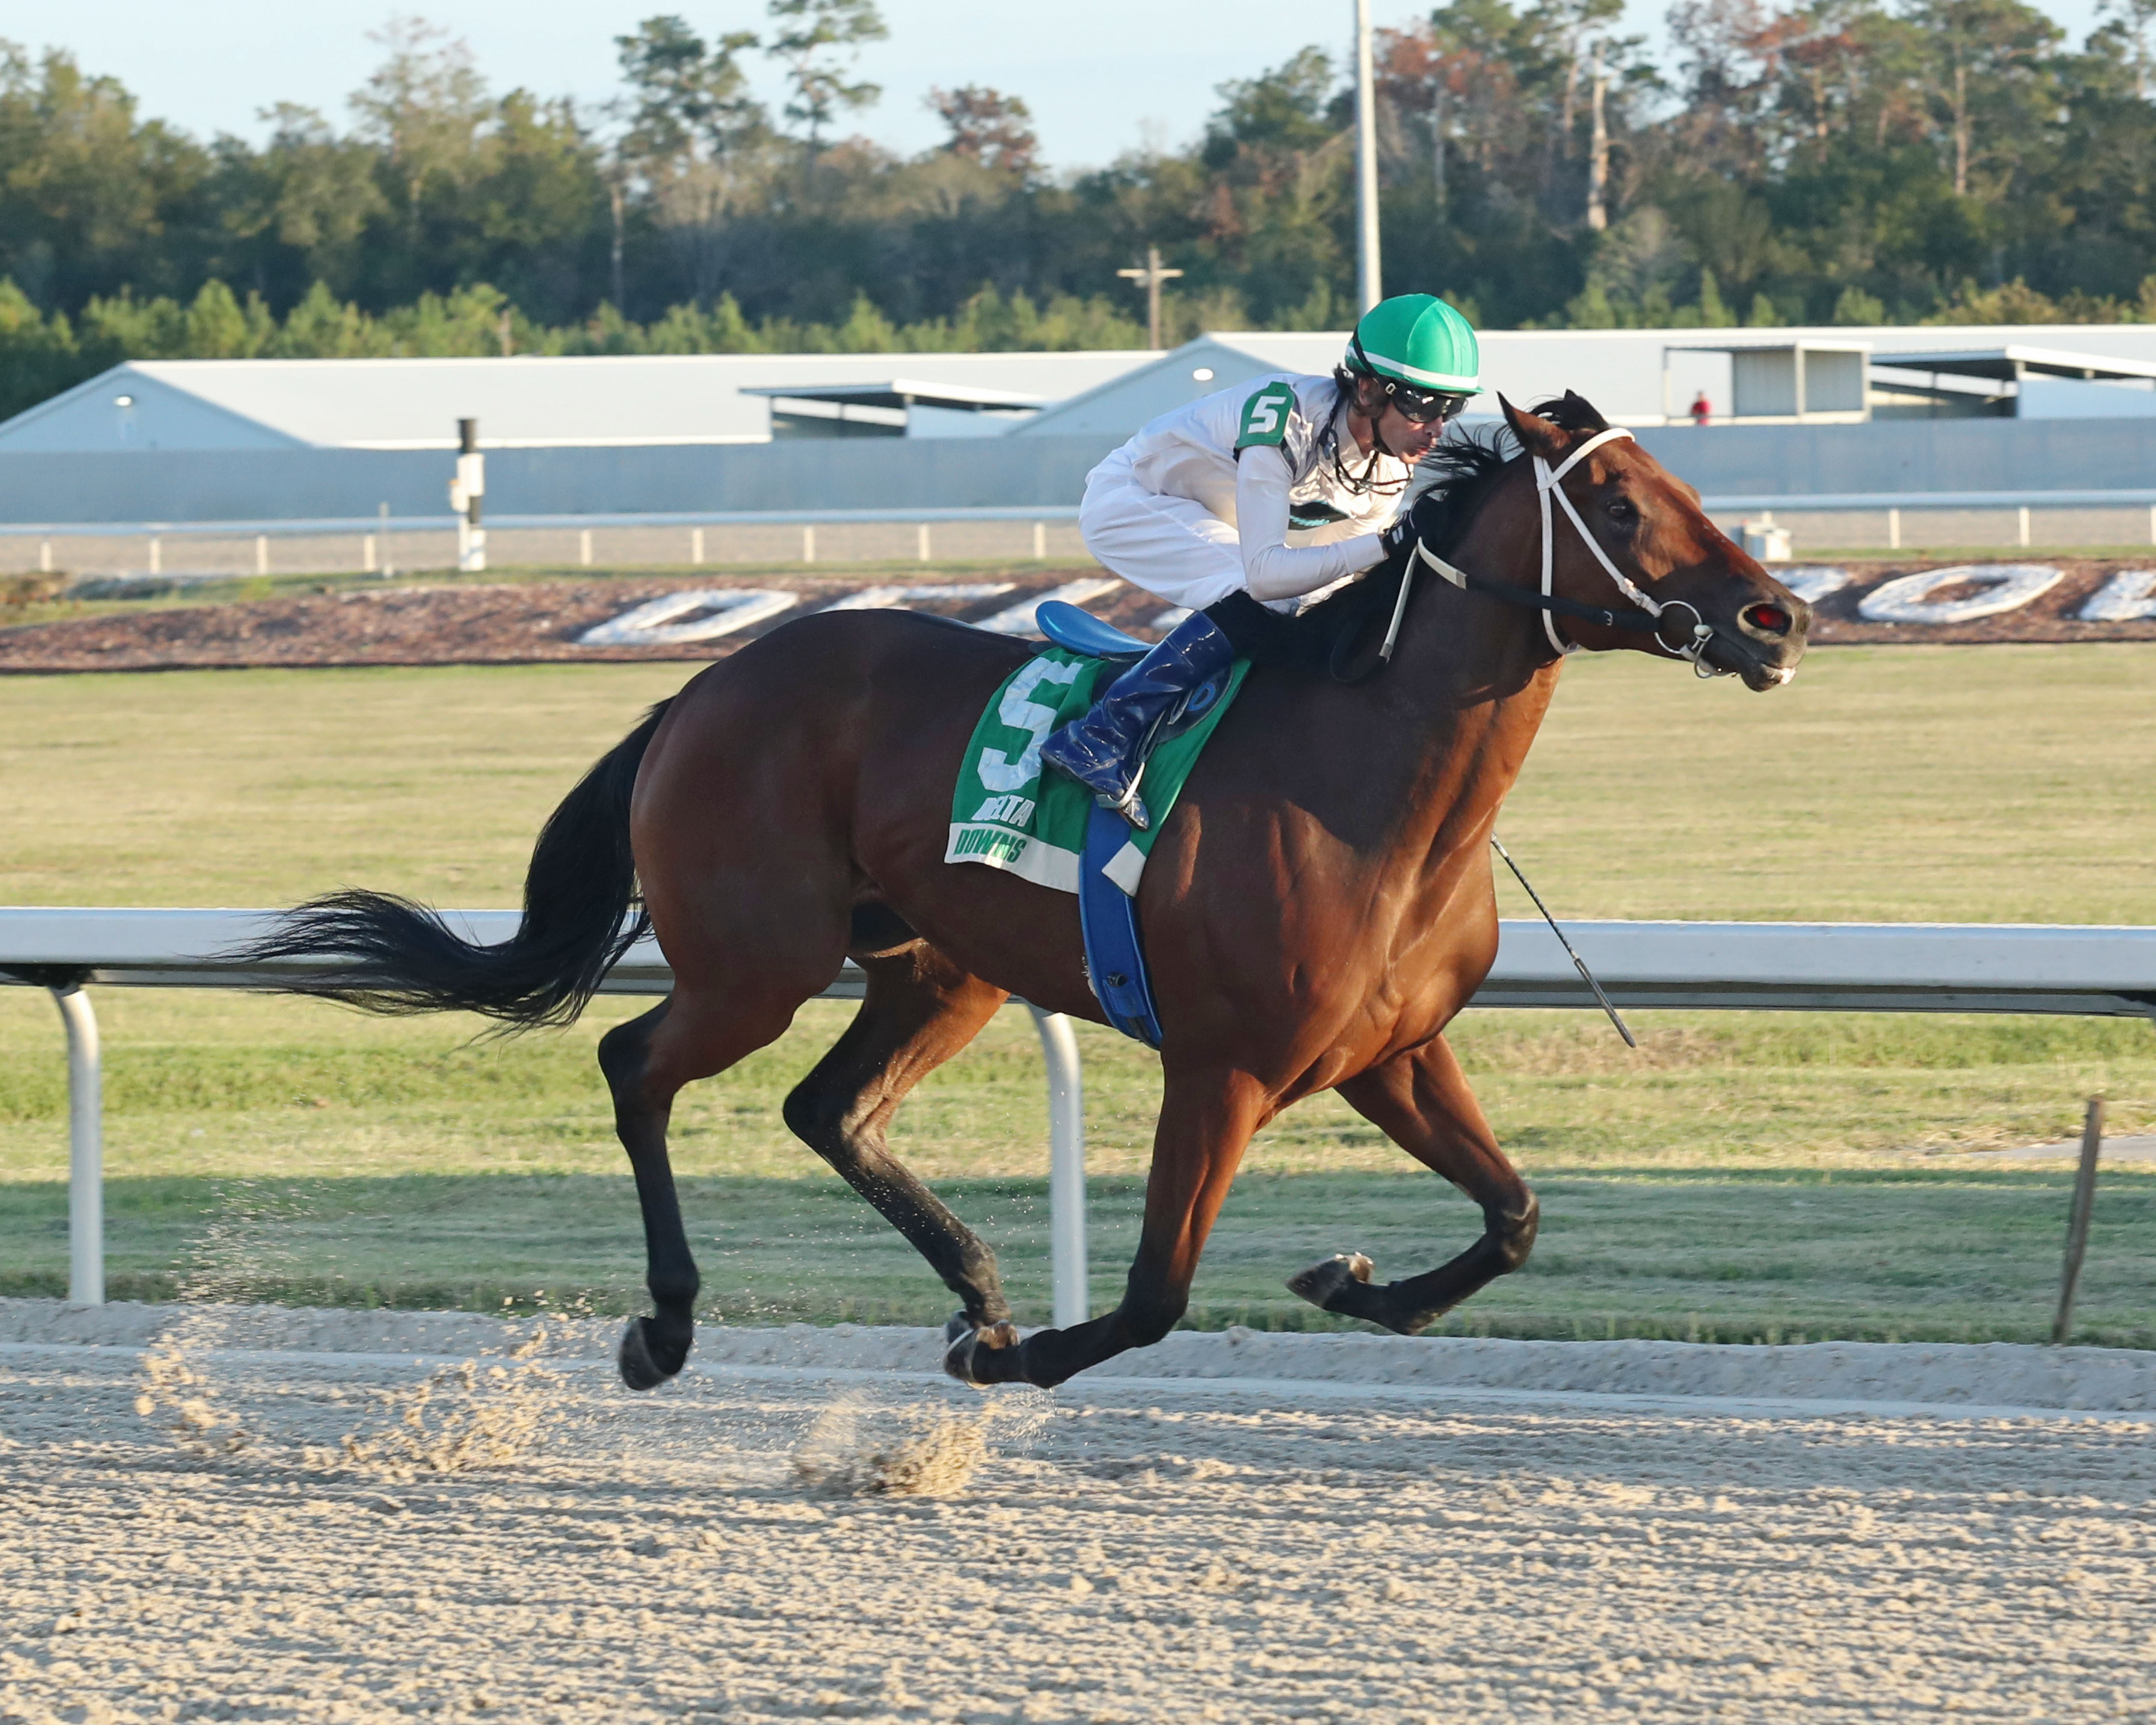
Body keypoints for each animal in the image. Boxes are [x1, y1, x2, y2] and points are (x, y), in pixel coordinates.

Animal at [249, 394, 1810, 1391]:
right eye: (1619, 501)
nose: (1778, 615)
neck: (1370, 788)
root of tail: (704, 685)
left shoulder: (1393, 1055)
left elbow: (1516, 1216)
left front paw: (1349, 1283)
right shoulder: (1223, 1066)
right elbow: (1156, 1295)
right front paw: (1024, 1358)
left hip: (941, 966)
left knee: (827, 1109)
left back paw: (977, 1288)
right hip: (756, 959)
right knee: (639, 1066)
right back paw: (673, 1328)